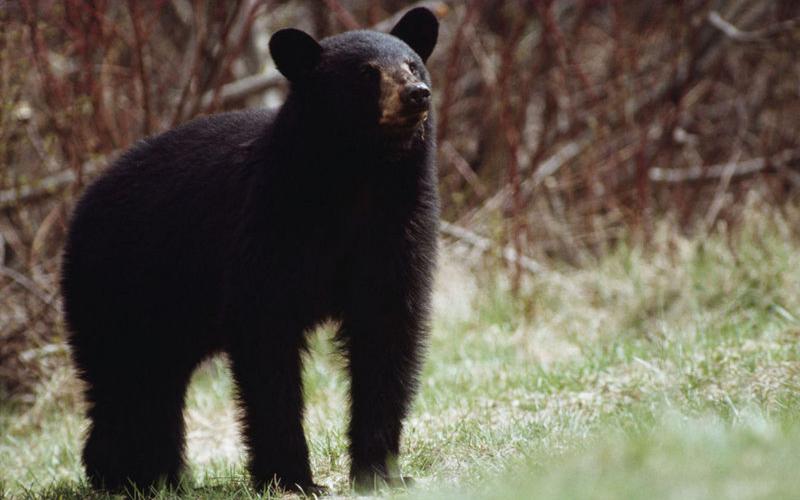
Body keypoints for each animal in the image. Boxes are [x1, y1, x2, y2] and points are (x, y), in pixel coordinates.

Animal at [60, 7, 439, 494]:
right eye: (367, 74)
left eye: (413, 65)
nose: (416, 95)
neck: (358, 177)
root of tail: (81, 208)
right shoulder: (267, 225)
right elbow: (266, 340)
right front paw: (294, 479)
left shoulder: (396, 231)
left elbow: (385, 335)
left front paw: (381, 473)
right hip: (118, 287)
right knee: (125, 379)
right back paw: (127, 476)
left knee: (154, 385)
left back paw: (162, 476)